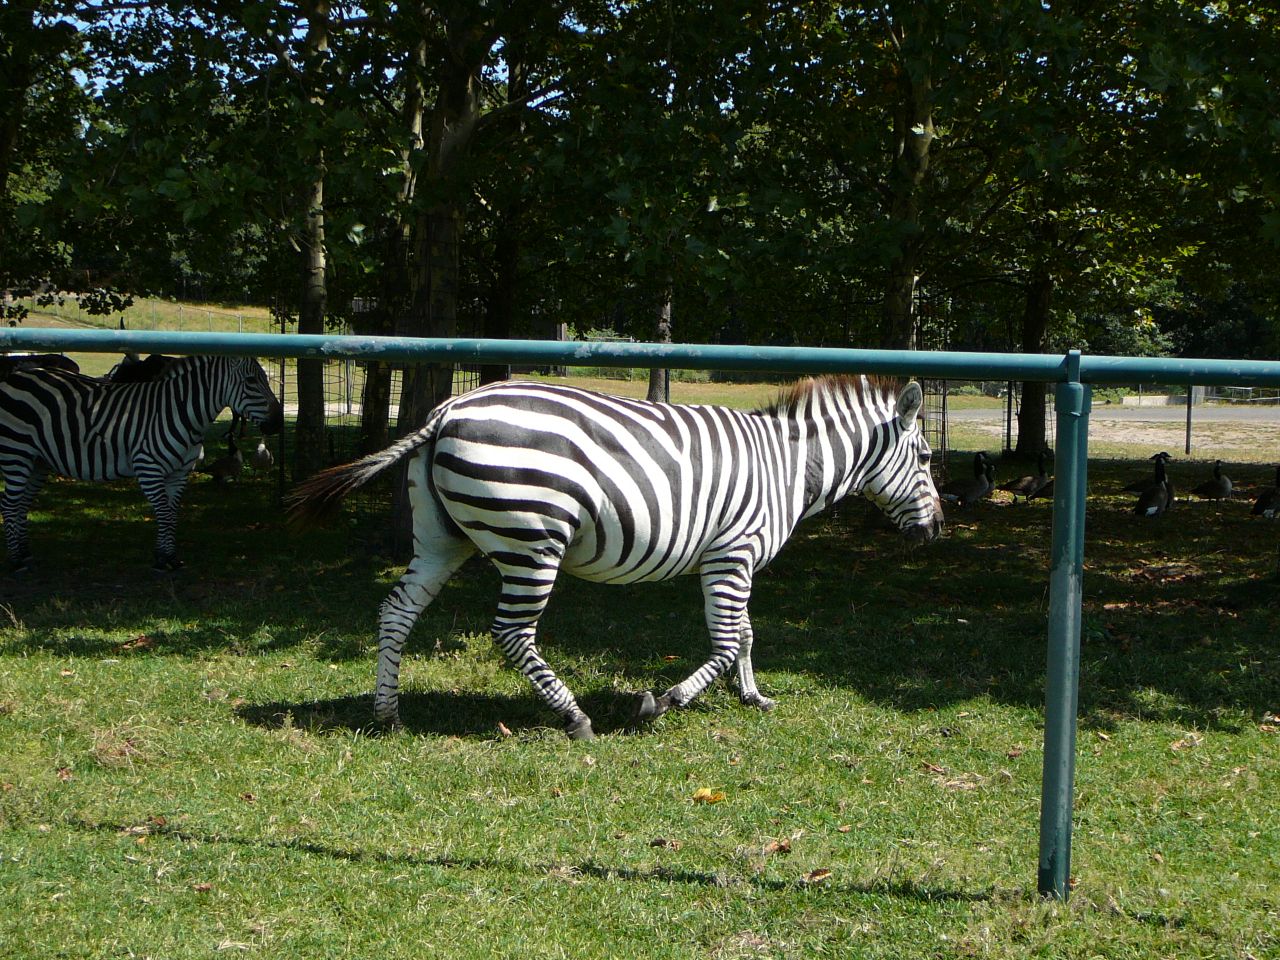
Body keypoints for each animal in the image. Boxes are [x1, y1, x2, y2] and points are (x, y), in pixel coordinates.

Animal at [0, 354, 283, 571]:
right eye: (251, 381)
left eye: (266, 380)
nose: (278, 424)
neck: (181, 412)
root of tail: (14, 377)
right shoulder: (149, 468)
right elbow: (164, 513)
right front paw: (162, 561)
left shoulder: (179, 472)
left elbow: (172, 513)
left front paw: (169, 558)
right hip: (17, 453)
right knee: (9, 505)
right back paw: (16, 561)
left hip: (37, 461)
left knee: (22, 504)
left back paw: (25, 553)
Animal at [287, 375, 943, 740]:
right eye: (927, 458)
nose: (936, 530)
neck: (789, 467)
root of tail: (448, 411)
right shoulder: (732, 554)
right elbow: (727, 641)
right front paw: (662, 702)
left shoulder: (733, 560)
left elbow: (747, 635)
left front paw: (753, 695)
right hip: (533, 539)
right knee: (511, 633)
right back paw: (575, 718)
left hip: (443, 536)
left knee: (397, 611)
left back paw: (387, 713)